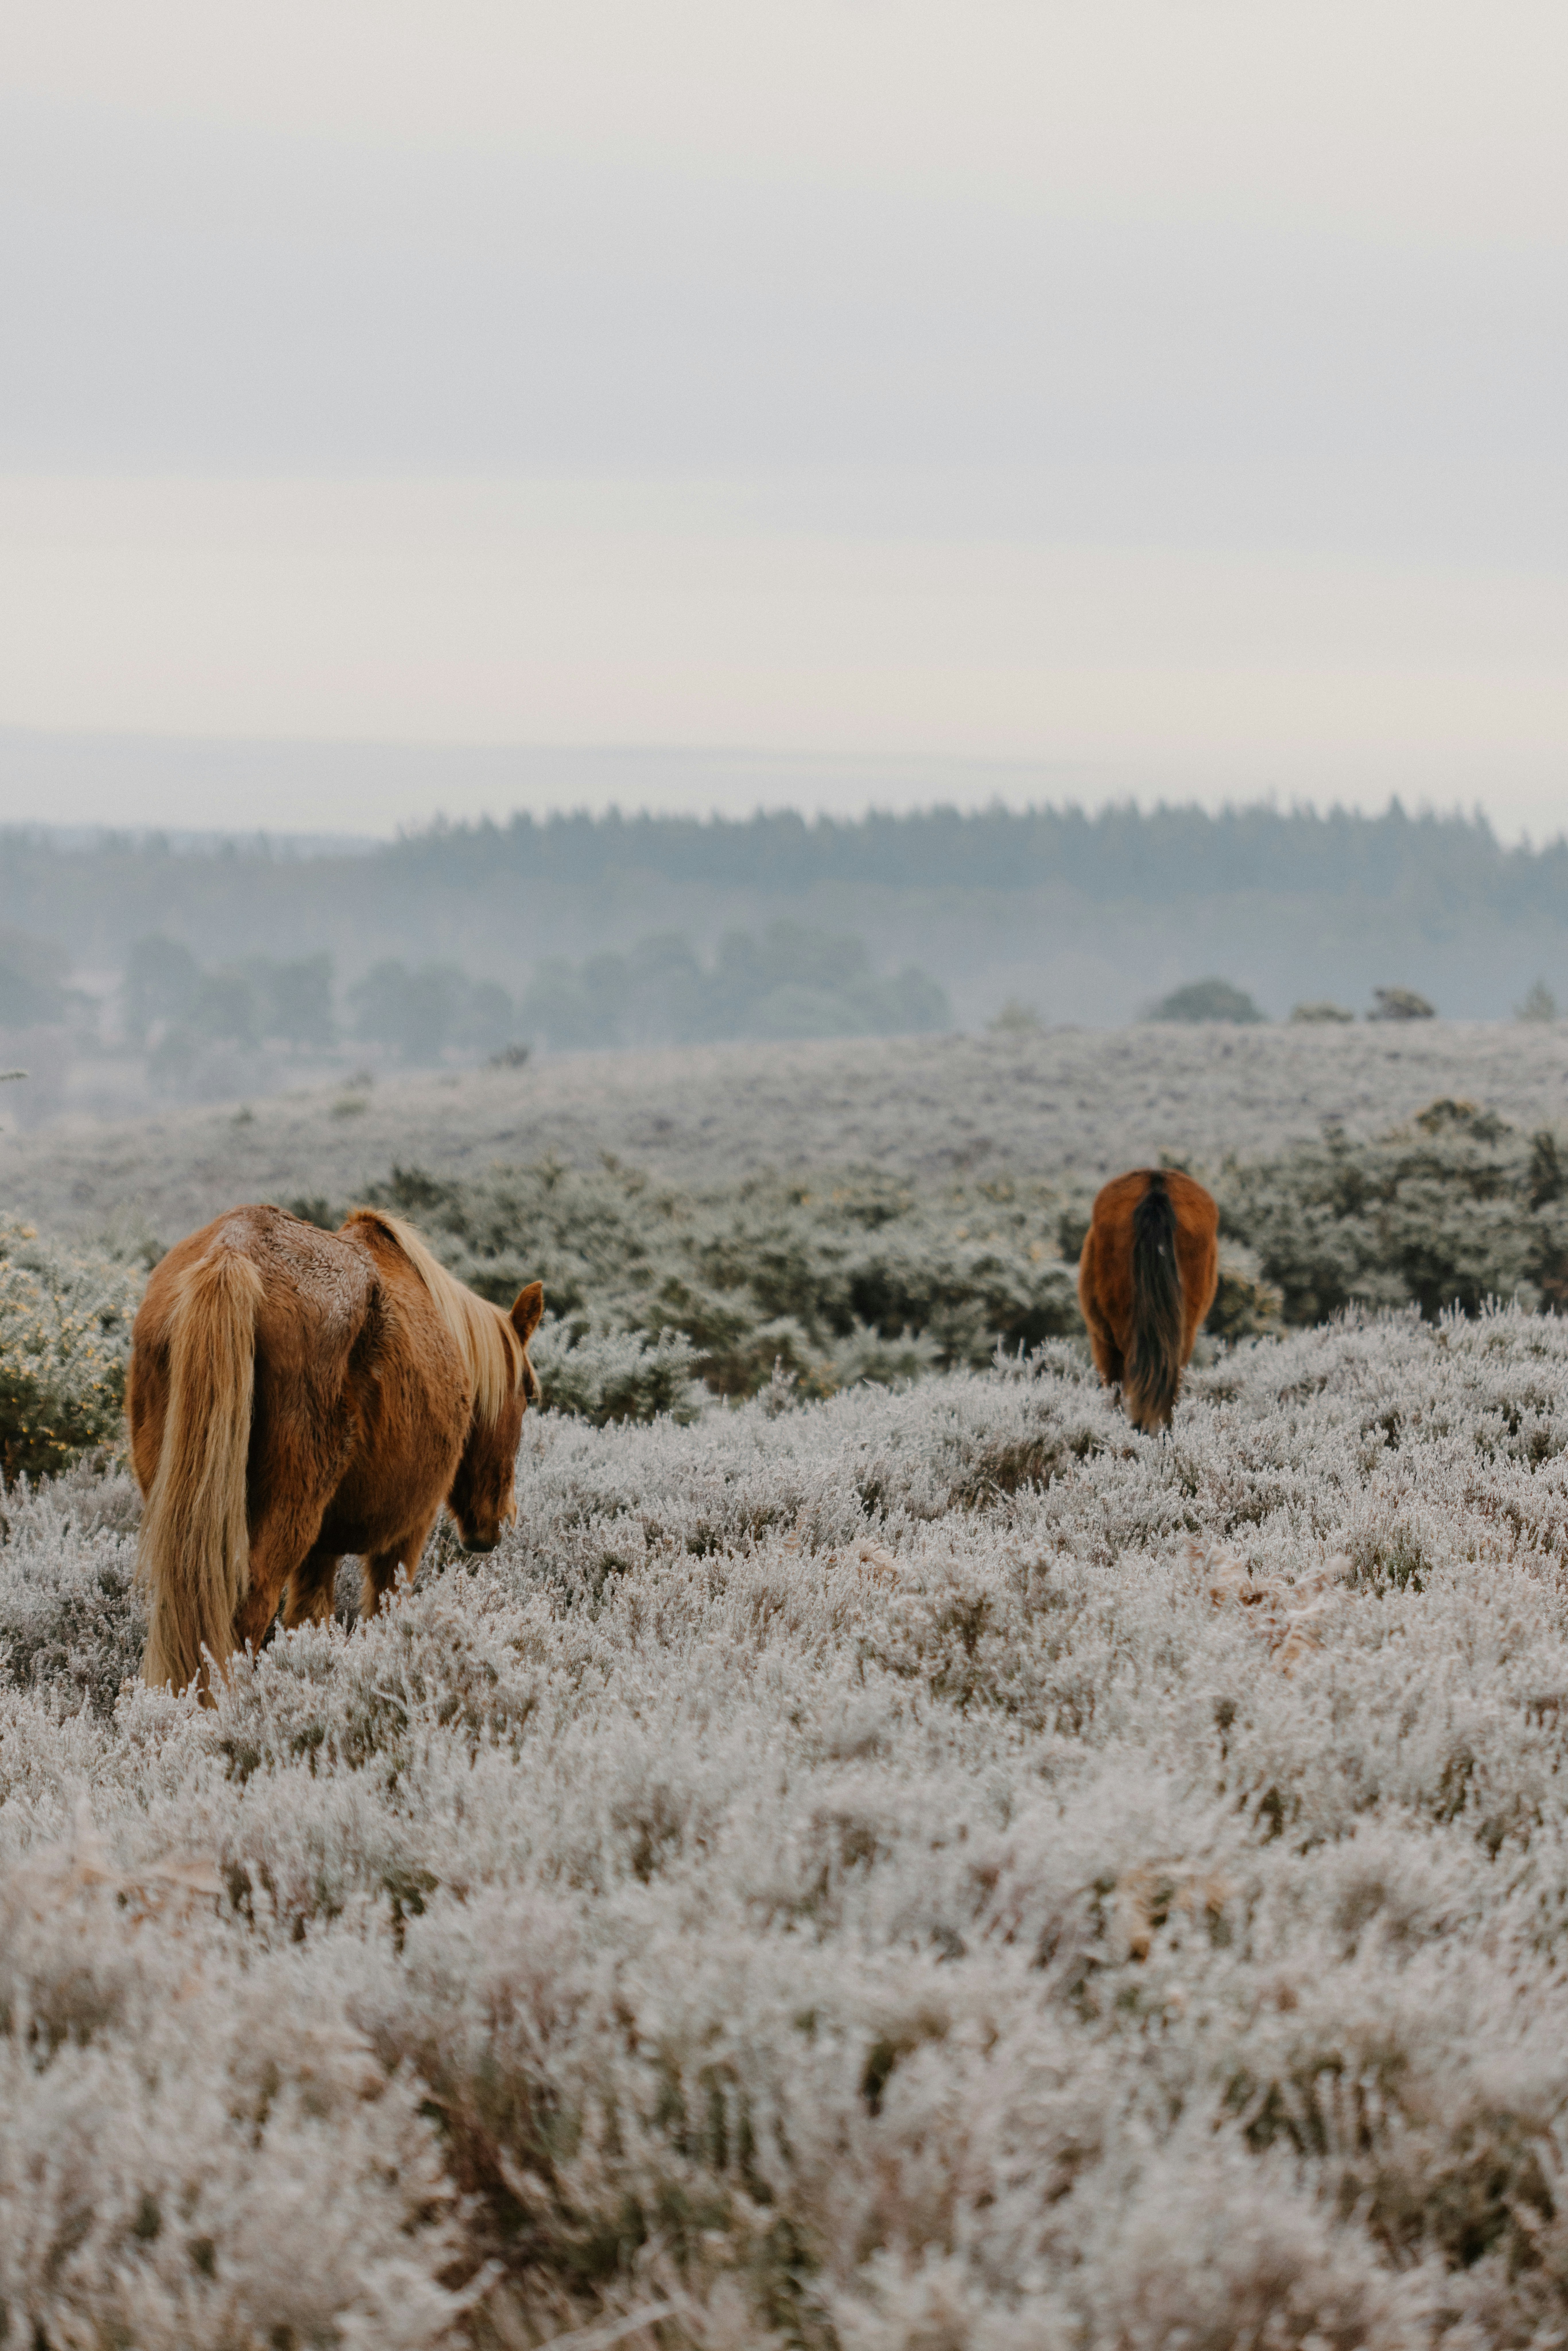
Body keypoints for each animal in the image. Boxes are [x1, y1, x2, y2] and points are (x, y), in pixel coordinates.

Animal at [127, 1203, 544, 1695]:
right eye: (529, 1394)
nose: (494, 1526)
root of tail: (231, 1253)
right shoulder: (408, 1532)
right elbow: (383, 1611)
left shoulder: (320, 1550)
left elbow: (308, 1621)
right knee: (247, 1613)